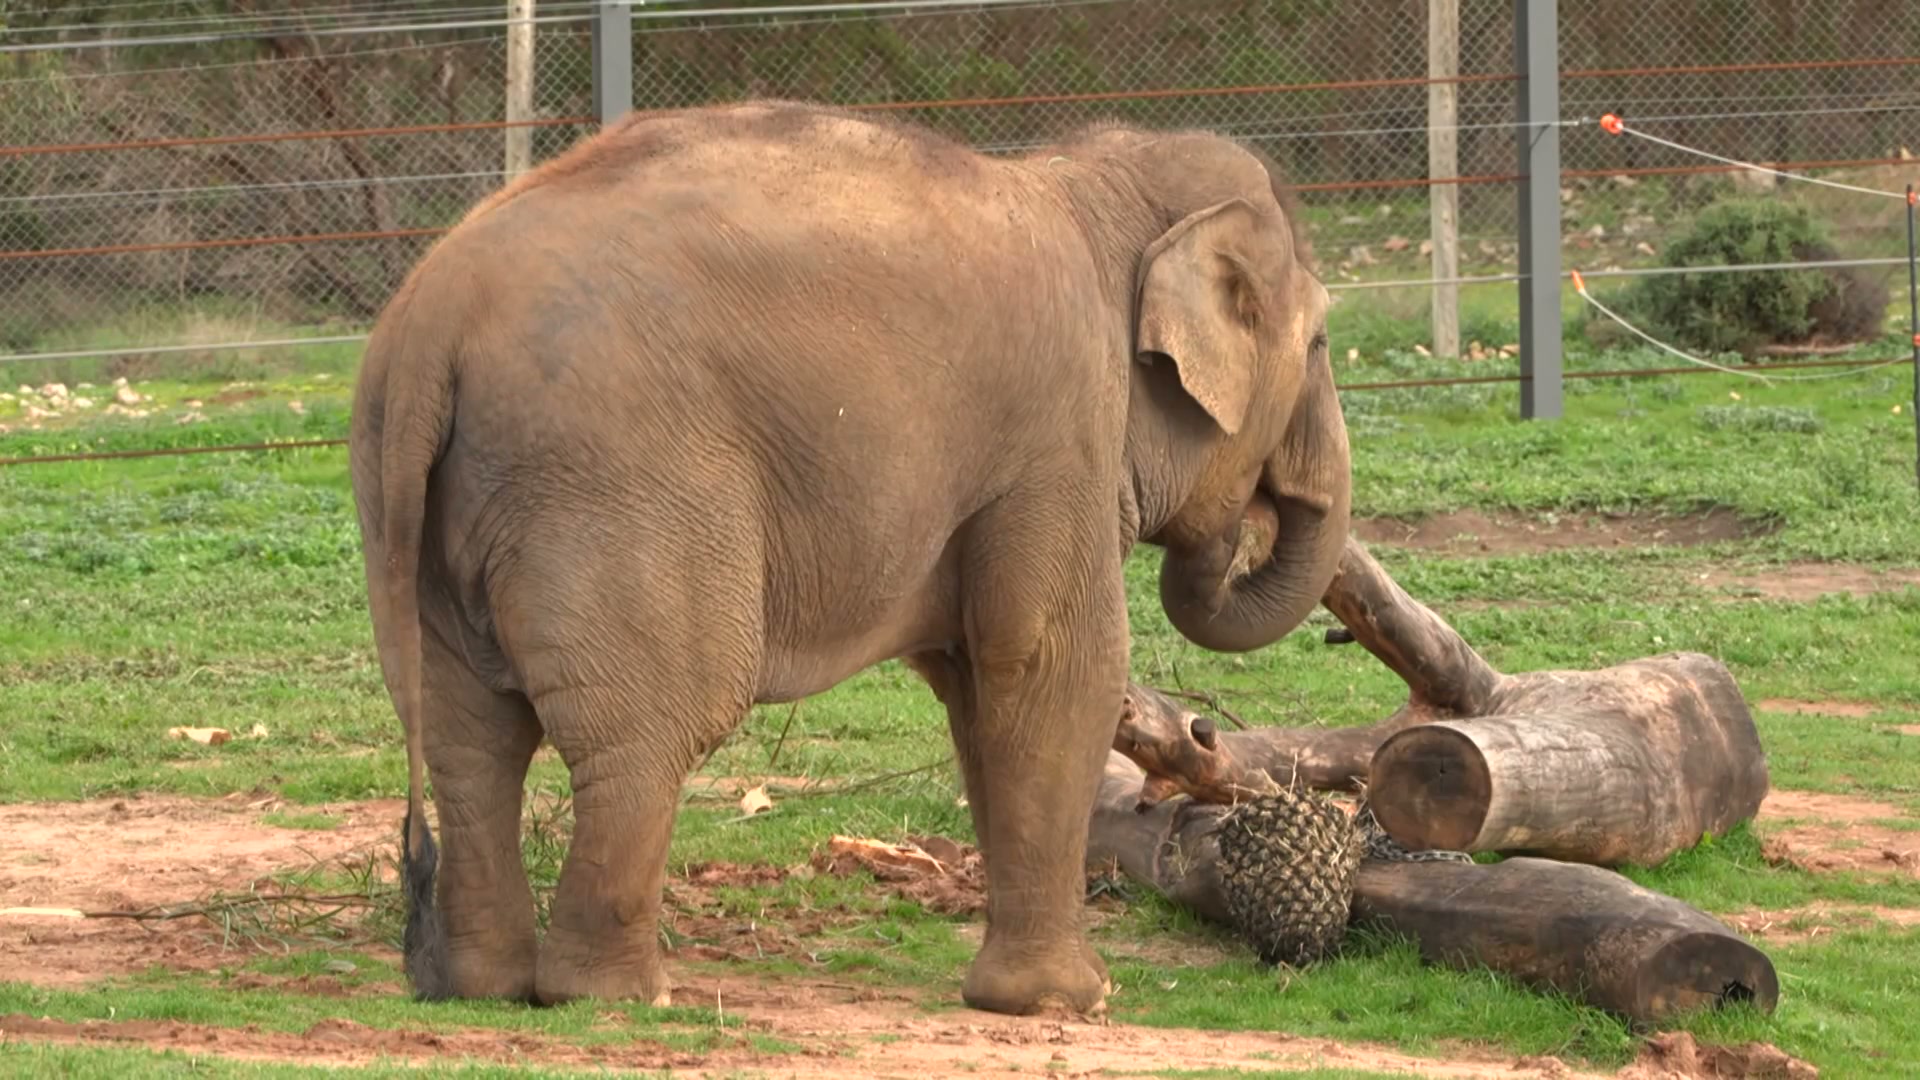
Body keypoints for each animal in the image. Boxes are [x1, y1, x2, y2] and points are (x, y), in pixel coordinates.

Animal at [348, 98, 1350, 1018]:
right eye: (1320, 341)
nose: (1247, 521)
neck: (1092, 181)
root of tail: (430, 328)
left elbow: (975, 689)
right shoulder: (1060, 435)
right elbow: (1054, 667)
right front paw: (1071, 1002)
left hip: (417, 506)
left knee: (467, 733)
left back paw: (482, 985)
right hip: (610, 488)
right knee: (652, 725)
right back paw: (620, 997)